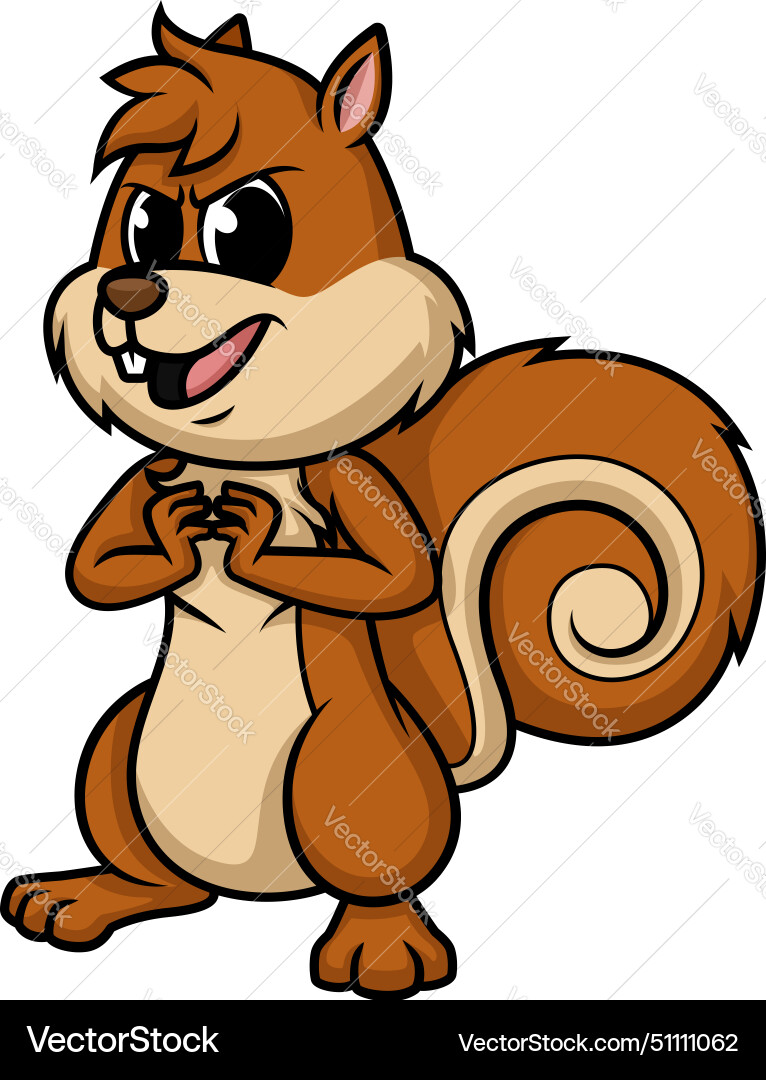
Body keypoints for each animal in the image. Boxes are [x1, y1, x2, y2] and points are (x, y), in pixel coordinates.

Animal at [3, 6, 763, 999]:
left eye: (248, 226)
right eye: (140, 225)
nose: (130, 292)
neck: (237, 462)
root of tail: (260, 889)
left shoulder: (346, 479)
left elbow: (397, 576)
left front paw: (249, 544)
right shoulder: (151, 473)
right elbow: (93, 571)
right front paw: (177, 537)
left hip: (342, 773)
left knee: (377, 874)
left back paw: (383, 947)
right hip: (115, 751)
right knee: (165, 882)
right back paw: (83, 897)